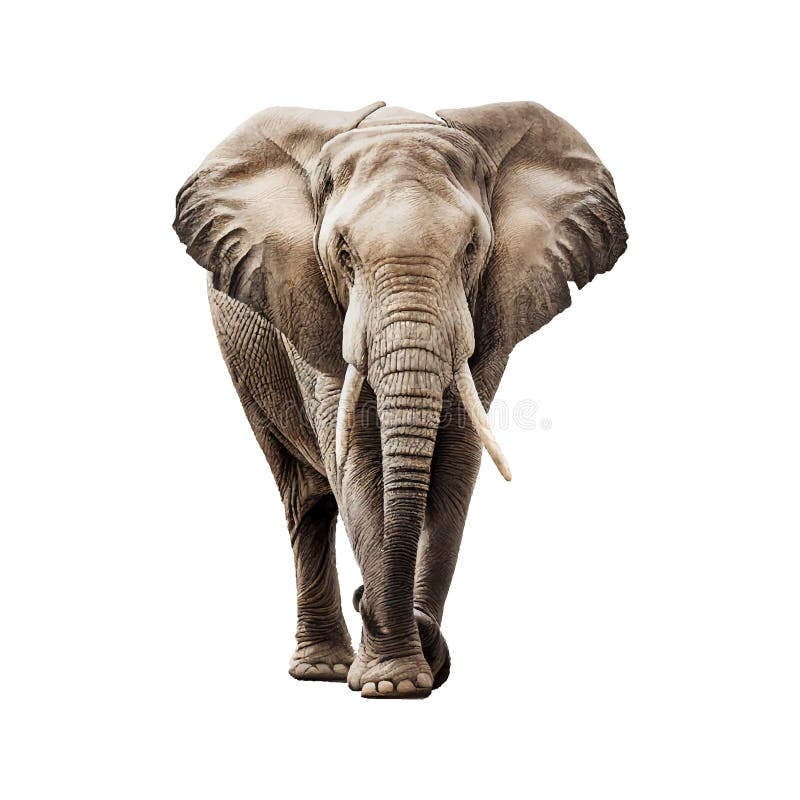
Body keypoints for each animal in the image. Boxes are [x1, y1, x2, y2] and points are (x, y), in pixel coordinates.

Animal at [173, 101, 627, 699]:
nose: (369, 601)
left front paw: (403, 677)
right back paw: (321, 672)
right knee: (305, 498)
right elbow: (359, 464)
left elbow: (455, 464)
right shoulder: (309, 304)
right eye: (342, 252)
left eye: (471, 250)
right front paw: (392, 684)